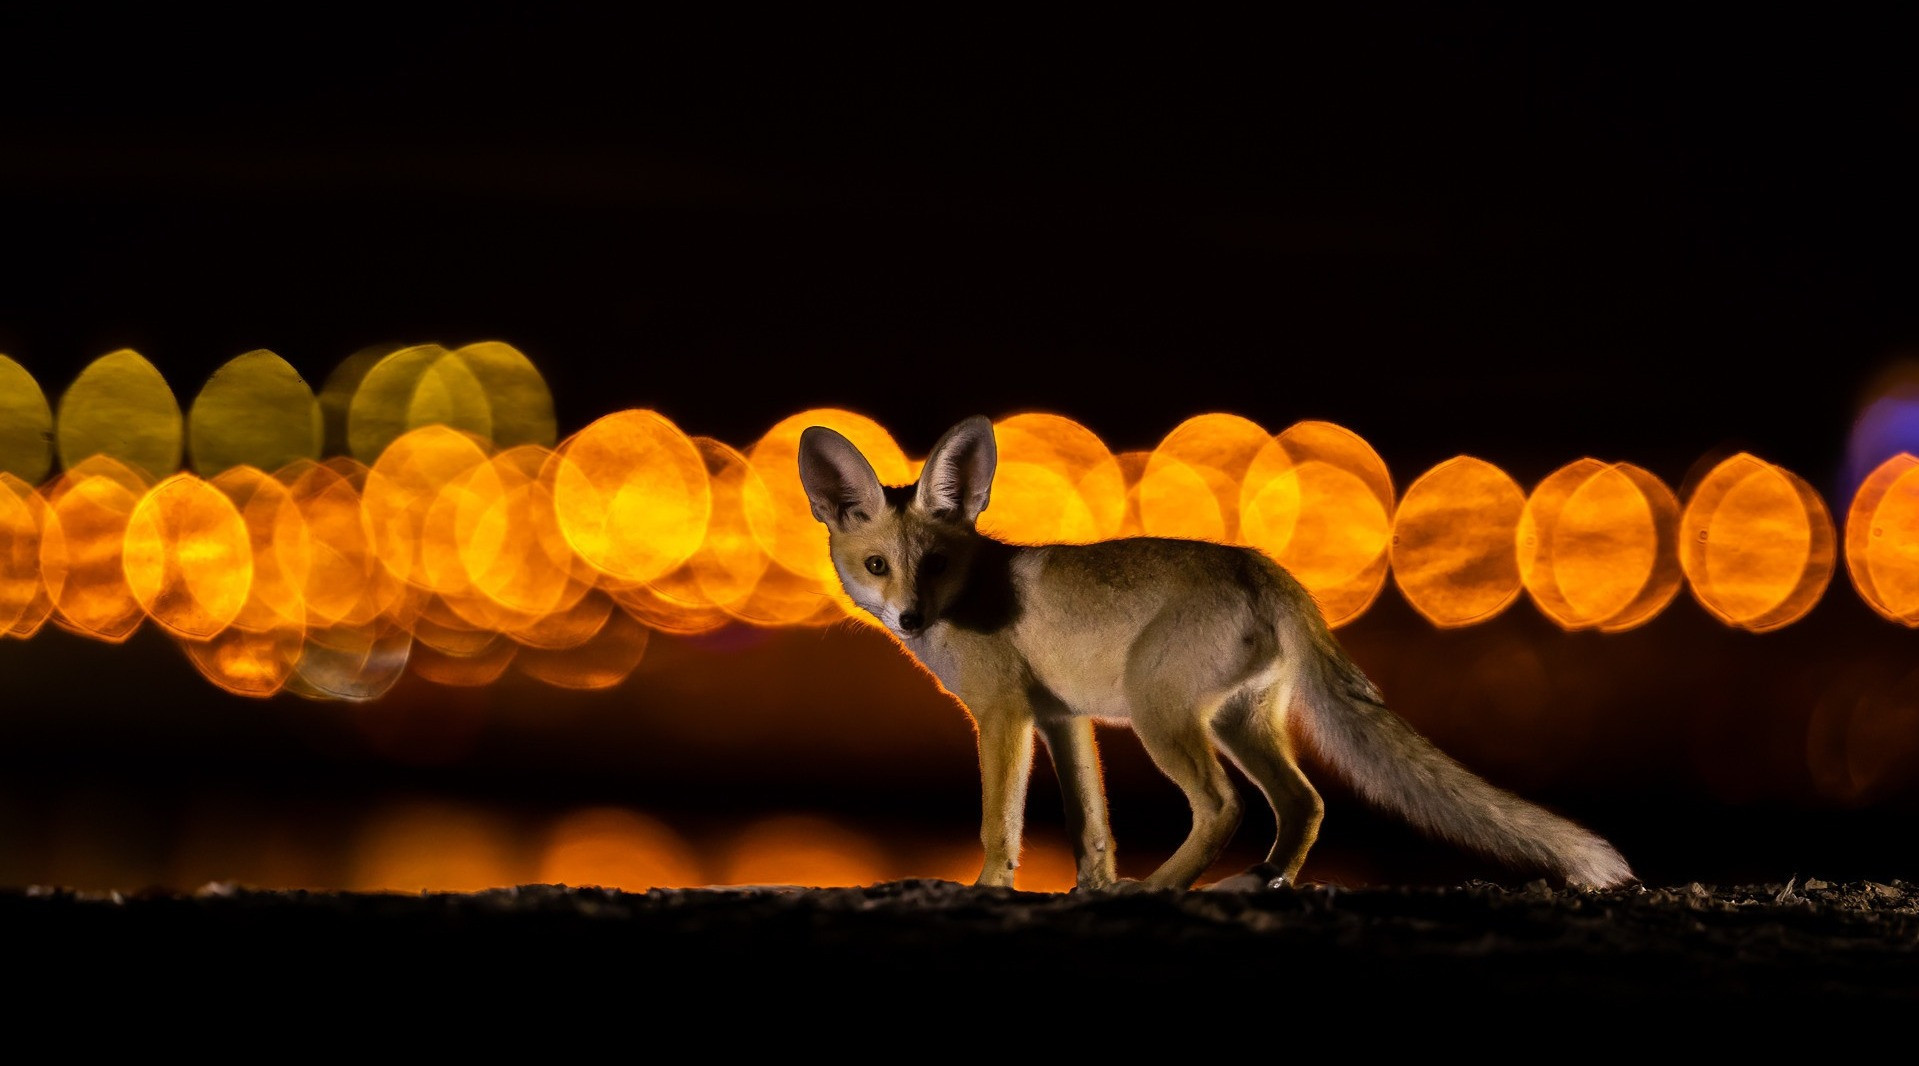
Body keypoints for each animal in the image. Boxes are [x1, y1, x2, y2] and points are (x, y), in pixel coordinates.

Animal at [797, 414, 1635, 892]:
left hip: (1160, 714)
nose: (908, 616)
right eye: (878, 566)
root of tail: (1265, 568)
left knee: (1225, 806)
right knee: (1305, 802)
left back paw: (1165, 888)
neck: (969, 593)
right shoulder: (1063, 718)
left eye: (933, 563)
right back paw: (1260, 882)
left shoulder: (1005, 716)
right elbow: (1089, 824)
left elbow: (999, 825)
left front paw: (988, 888)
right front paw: (1092, 890)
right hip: (1238, 722)